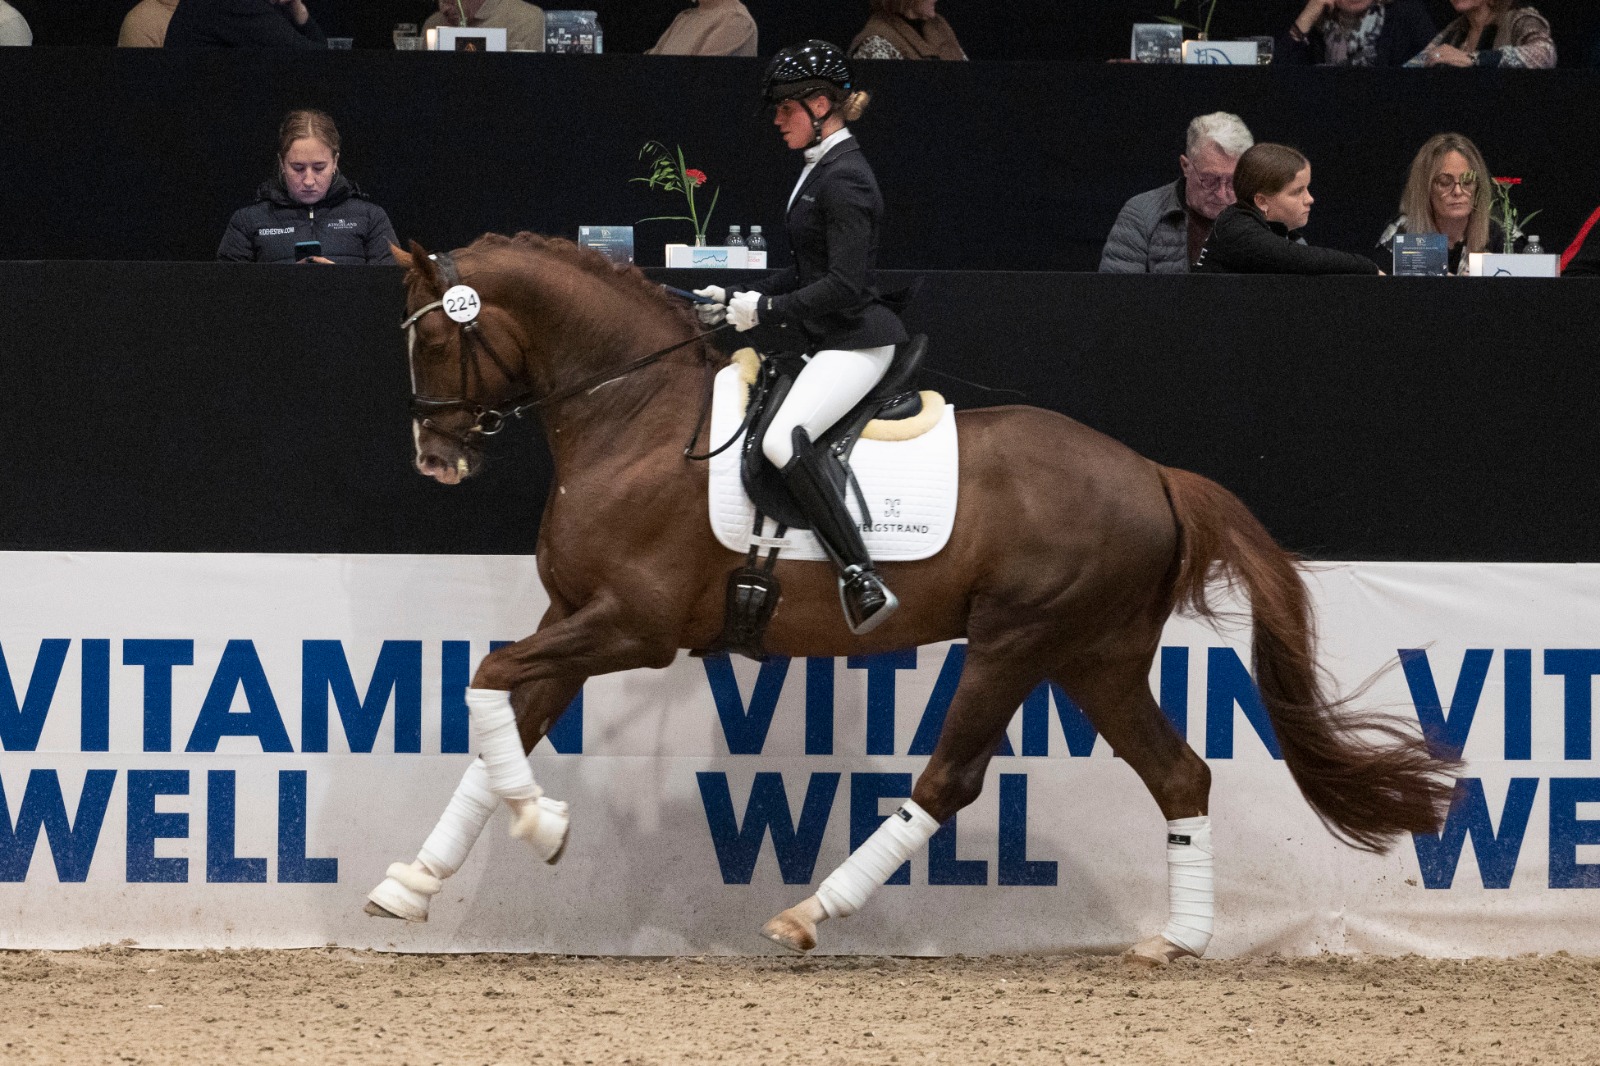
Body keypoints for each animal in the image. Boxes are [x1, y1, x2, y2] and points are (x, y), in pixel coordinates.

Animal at [367, 231, 1459, 963]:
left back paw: (810, 913)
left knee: (949, 780)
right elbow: (499, 715)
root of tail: (1152, 473)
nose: (432, 457)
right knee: (1180, 773)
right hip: (1094, 655)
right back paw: (1176, 941)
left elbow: (487, 678)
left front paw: (541, 825)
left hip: (1018, 640)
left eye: (434, 345)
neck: (634, 415)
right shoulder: (574, 617)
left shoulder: (632, 629)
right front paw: (413, 881)